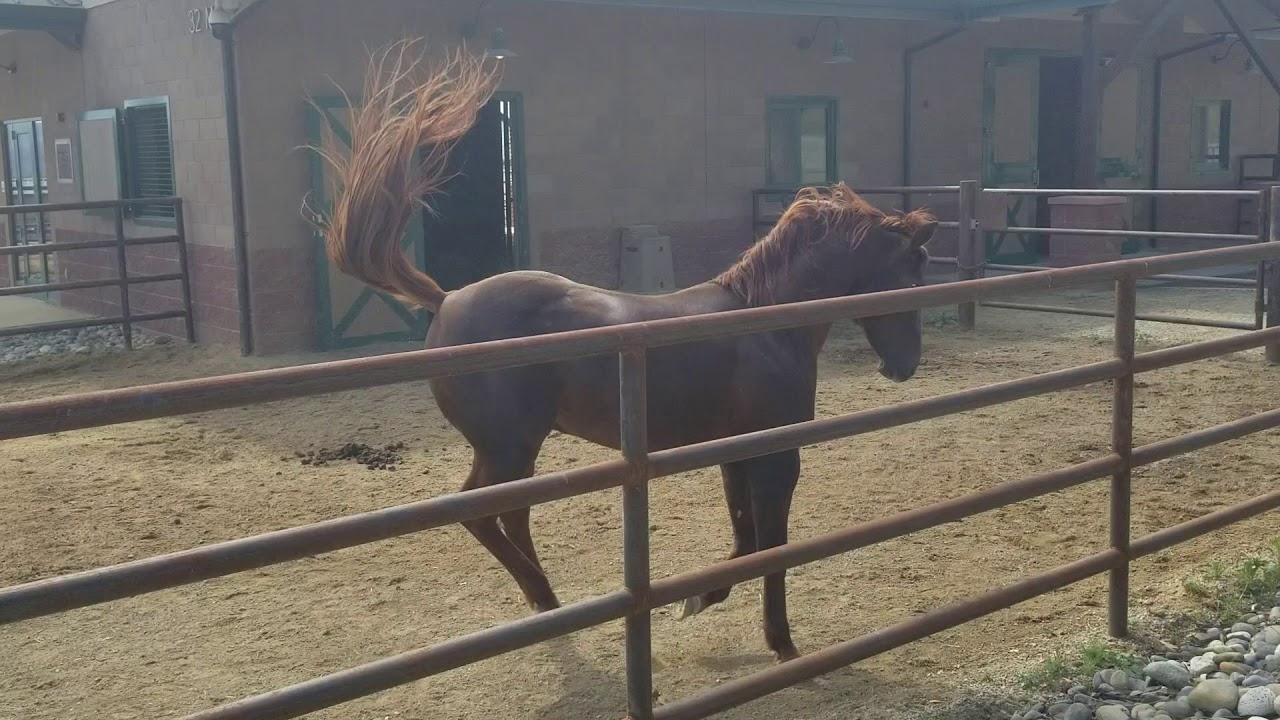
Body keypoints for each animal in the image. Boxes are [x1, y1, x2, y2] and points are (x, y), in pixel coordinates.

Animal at [318, 41, 936, 663]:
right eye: (914, 271)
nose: (904, 365)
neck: (765, 324)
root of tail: (446, 300)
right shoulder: (774, 456)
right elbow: (771, 549)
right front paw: (781, 644)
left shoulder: (734, 453)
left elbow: (744, 540)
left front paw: (698, 598)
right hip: (507, 447)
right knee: (483, 512)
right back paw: (546, 600)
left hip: (514, 452)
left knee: (508, 514)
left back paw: (546, 602)